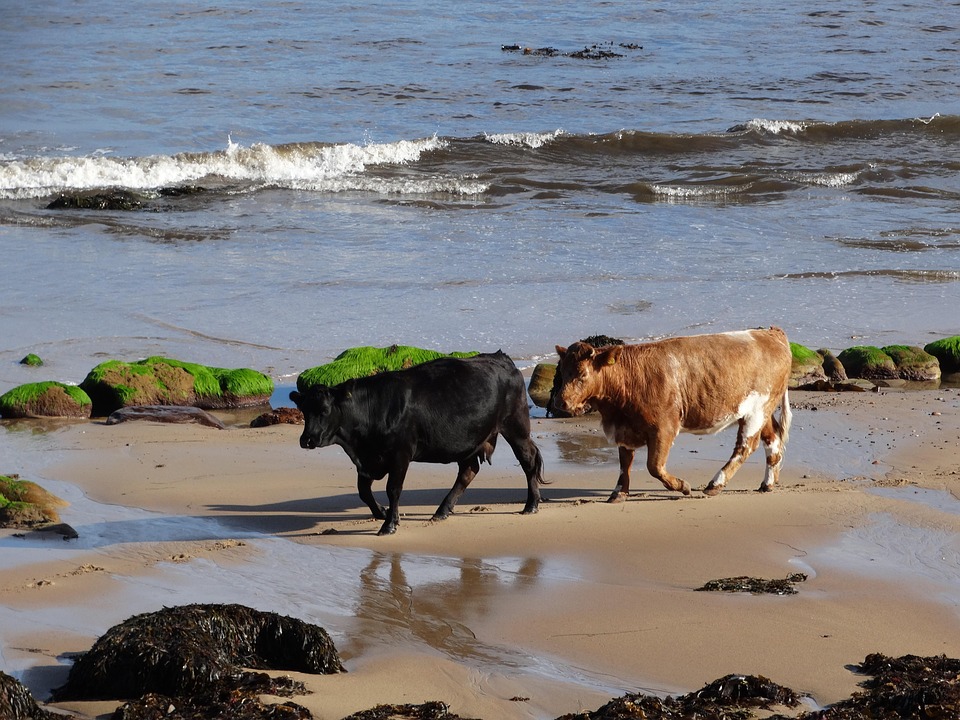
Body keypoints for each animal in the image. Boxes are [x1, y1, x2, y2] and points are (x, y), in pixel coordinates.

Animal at [289, 351, 545, 535]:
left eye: (324, 410)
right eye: (304, 411)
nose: (307, 439)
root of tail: (501, 358)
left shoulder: (400, 454)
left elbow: (393, 489)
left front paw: (388, 525)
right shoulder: (369, 460)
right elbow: (363, 490)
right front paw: (382, 512)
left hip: (516, 426)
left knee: (528, 460)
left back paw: (531, 505)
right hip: (472, 439)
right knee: (468, 471)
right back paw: (442, 511)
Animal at [553, 327, 792, 501]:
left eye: (583, 374)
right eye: (563, 371)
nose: (561, 402)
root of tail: (769, 332)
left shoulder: (664, 428)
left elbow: (654, 467)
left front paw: (683, 486)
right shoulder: (625, 428)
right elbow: (624, 463)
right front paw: (618, 493)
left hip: (756, 411)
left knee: (745, 446)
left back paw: (715, 484)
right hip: (761, 410)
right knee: (772, 440)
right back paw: (767, 484)